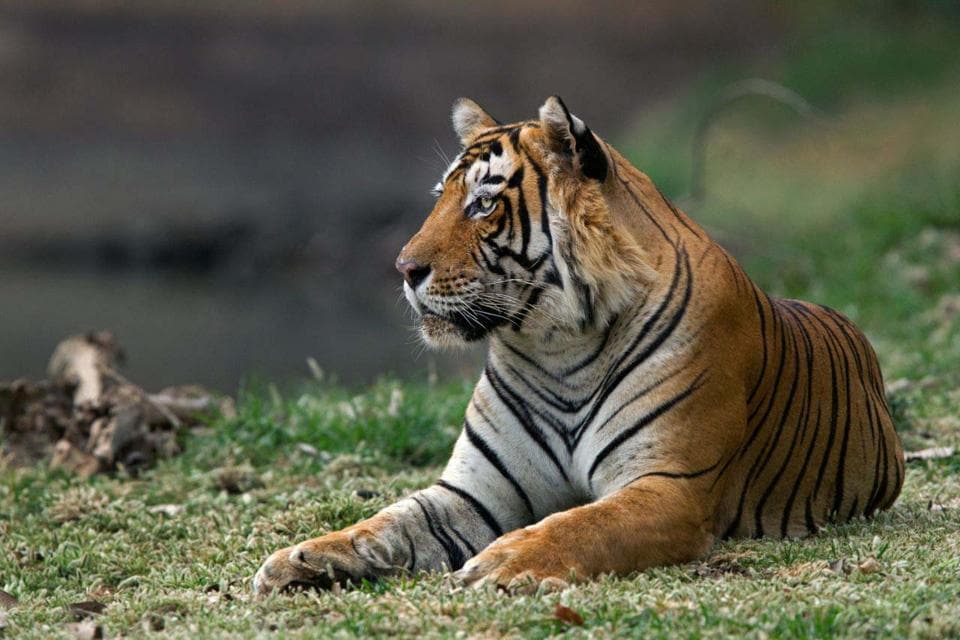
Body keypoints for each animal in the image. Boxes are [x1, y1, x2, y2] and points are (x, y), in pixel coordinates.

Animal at [253, 96, 904, 594]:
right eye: (441, 197)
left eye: (483, 203)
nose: (403, 268)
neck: (560, 348)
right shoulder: (473, 492)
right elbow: (386, 523)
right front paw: (300, 558)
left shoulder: (670, 485)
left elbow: (583, 525)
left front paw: (502, 563)